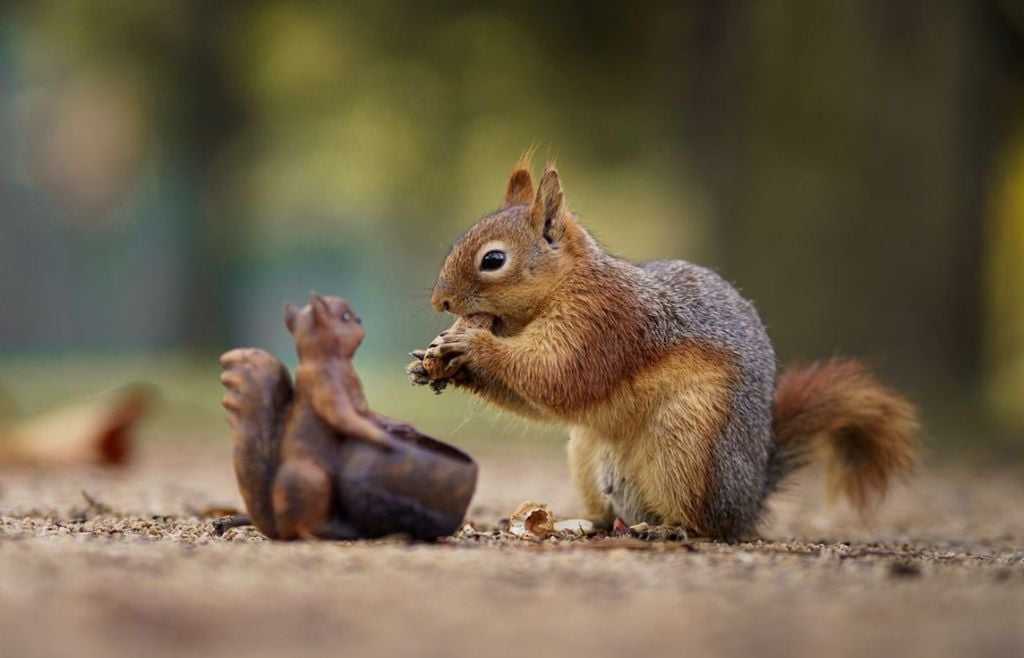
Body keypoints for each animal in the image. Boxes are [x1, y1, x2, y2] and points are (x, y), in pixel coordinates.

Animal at [408, 153, 919, 540]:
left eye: (493, 259)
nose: (440, 301)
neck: (569, 284)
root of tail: (750, 495)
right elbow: (538, 396)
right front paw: (432, 363)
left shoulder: (603, 325)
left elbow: (557, 376)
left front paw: (471, 345)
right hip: (587, 452)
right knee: (607, 512)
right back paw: (579, 523)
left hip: (691, 448)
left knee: (708, 525)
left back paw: (670, 529)